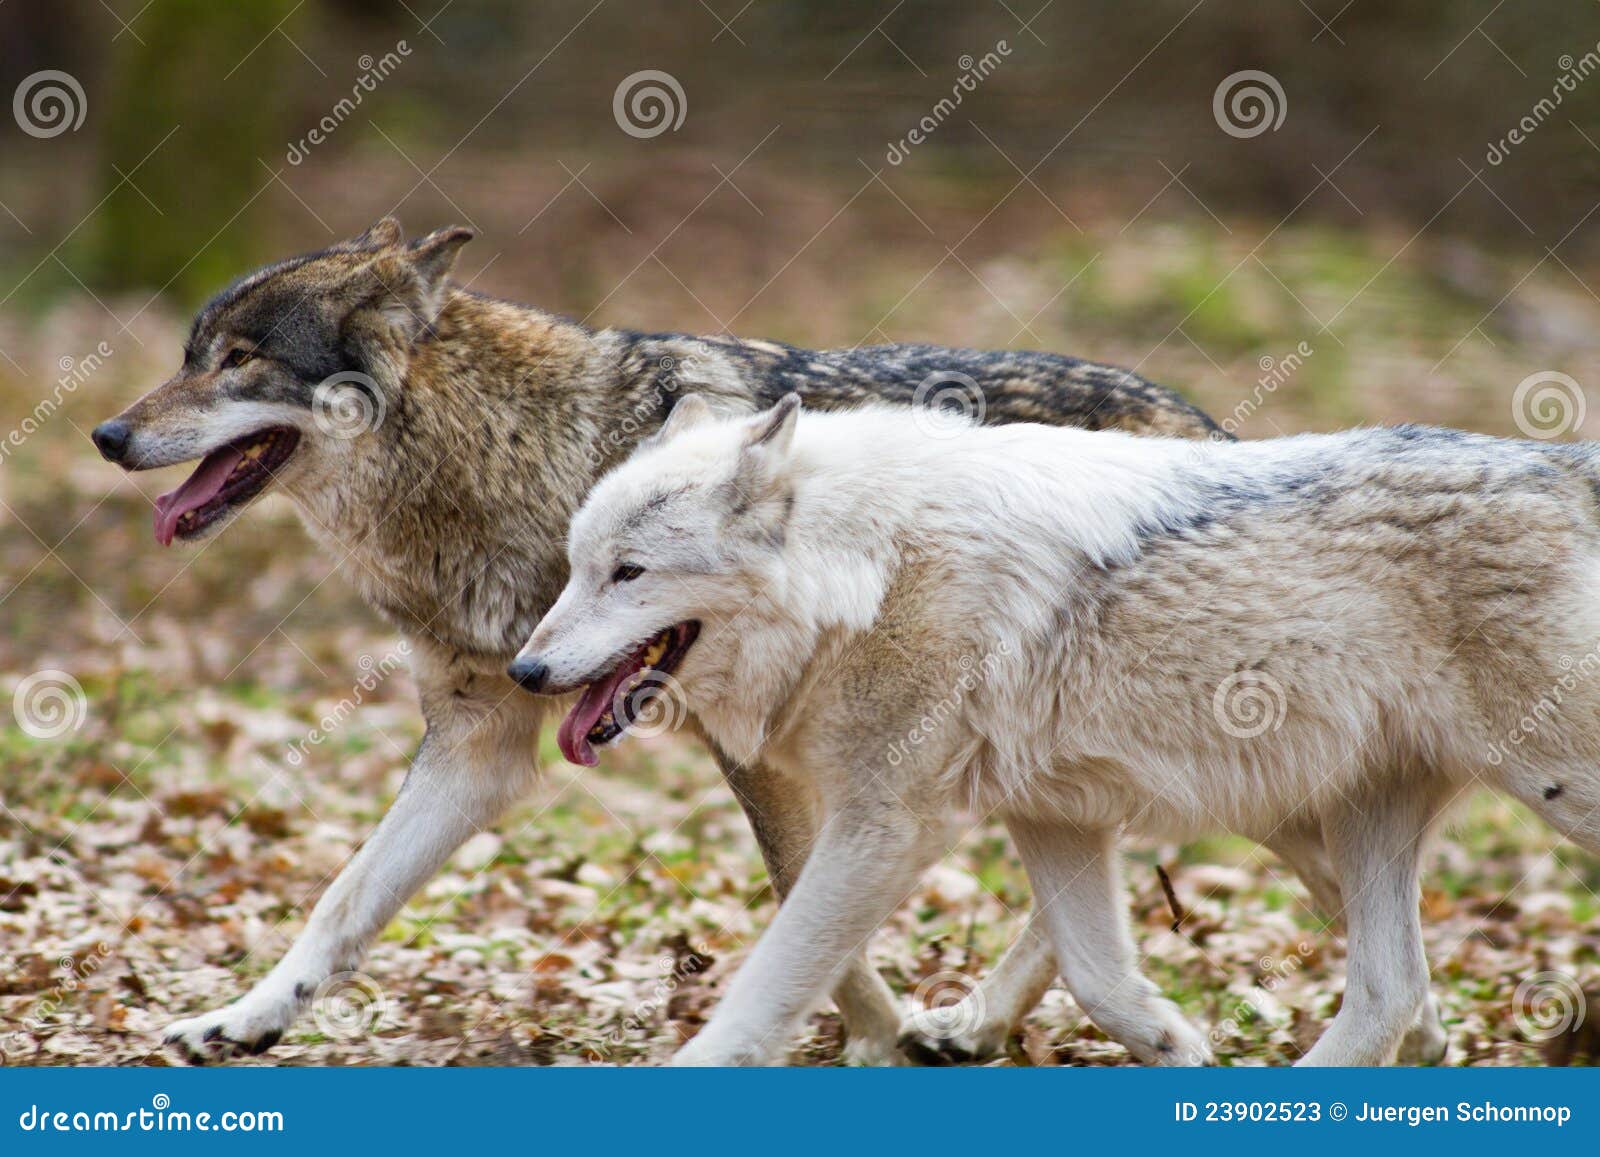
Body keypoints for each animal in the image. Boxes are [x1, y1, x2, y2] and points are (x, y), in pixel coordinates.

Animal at [92, 217, 1304, 1064]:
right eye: (190, 353)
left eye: (237, 360)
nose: (105, 433)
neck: (519, 460)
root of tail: (1210, 428)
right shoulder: (479, 742)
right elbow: (344, 898)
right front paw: (245, 1017)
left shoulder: (754, 750)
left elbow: (807, 903)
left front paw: (866, 1037)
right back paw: (983, 1021)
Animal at [512, 394, 1600, 1066]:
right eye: (575, 565)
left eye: (628, 572)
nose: (525, 671)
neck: (872, 567)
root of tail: (1564, 461)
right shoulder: (1055, 818)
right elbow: (1097, 974)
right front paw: (1173, 1042)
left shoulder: (886, 826)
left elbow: (768, 982)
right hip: (1354, 817)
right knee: (1388, 989)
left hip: (1536, 789)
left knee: (1393, 987)